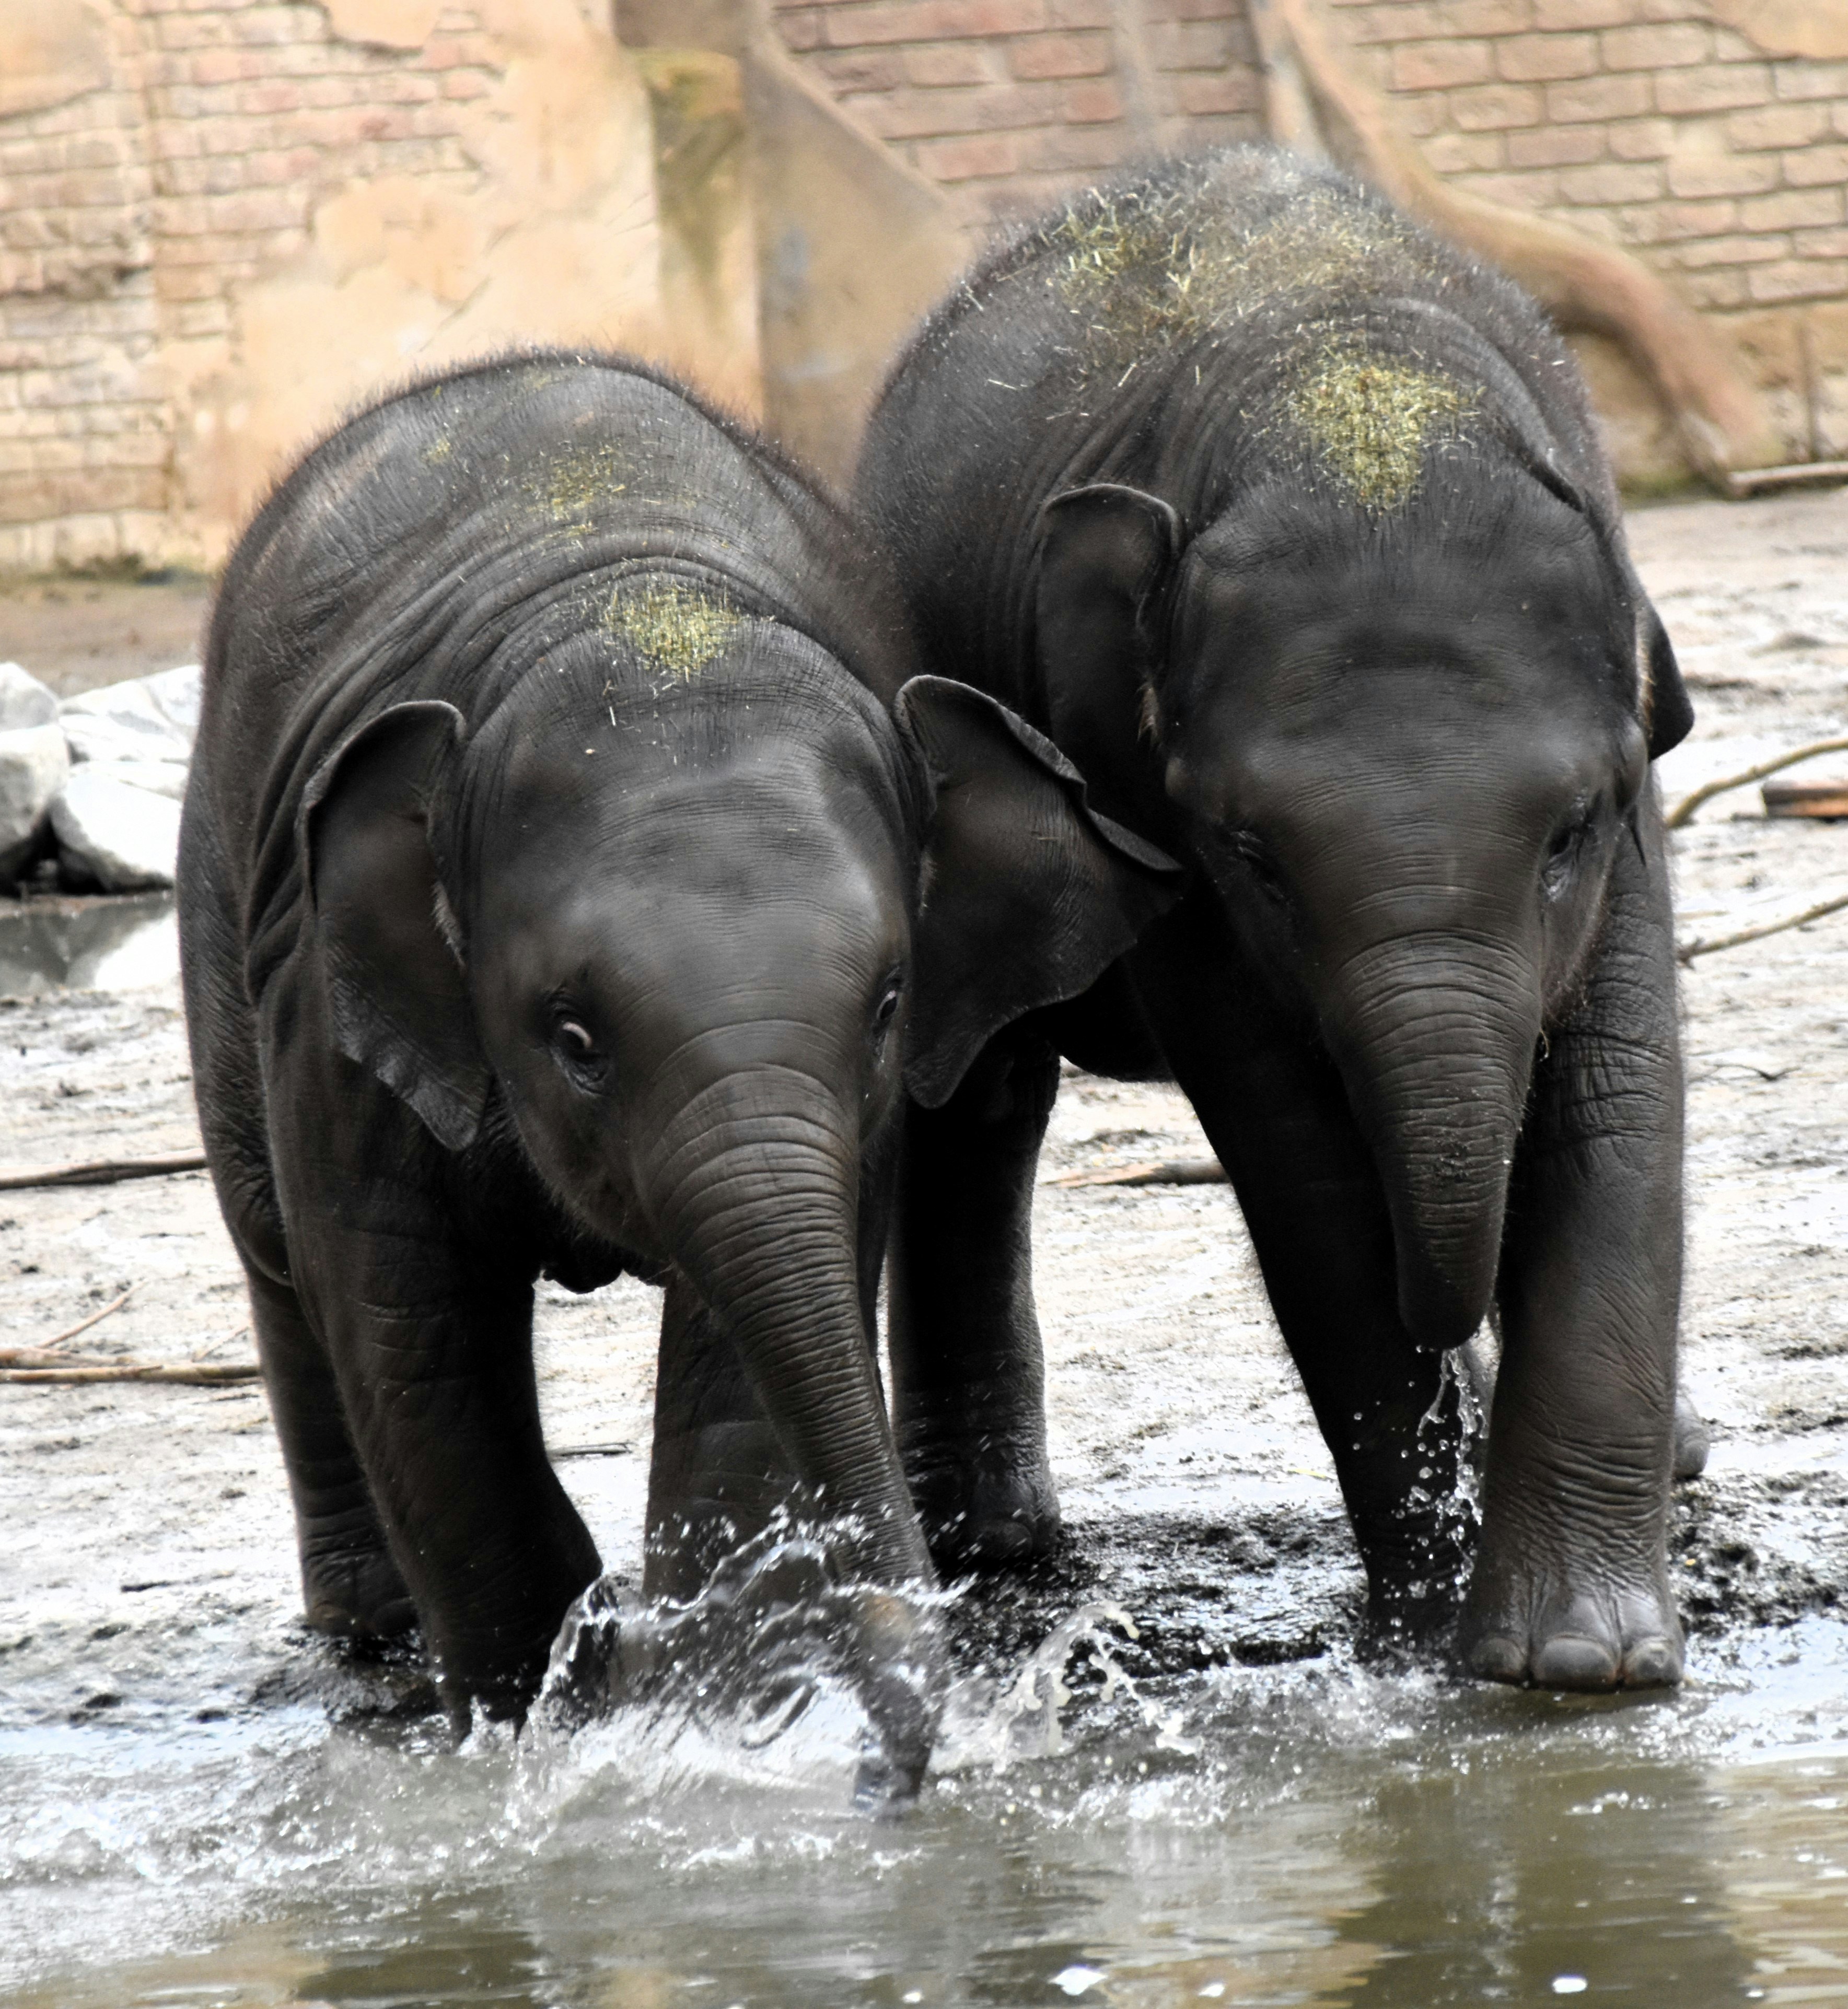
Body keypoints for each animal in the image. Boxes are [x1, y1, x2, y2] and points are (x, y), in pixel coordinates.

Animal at [177, 352, 1177, 1791]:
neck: (635, 604)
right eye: (571, 1036)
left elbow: (740, 1361)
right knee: (274, 1256)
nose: (919, 1757)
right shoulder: (324, 996)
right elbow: (404, 1319)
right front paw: (538, 1727)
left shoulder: (845, 1113)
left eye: (887, 1004)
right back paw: (370, 1637)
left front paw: (706, 1712)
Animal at [855, 149, 1696, 1691]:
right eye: (1256, 854)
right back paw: (996, 1549)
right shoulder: (1138, 782)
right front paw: (1433, 1636)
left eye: (1568, 830)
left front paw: (1578, 1663)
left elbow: (1614, 1086)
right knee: (982, 1103)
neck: (1349, 381)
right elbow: (1296, 1146)